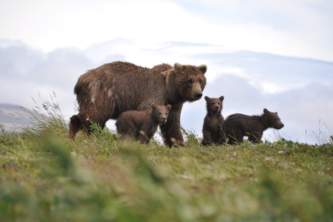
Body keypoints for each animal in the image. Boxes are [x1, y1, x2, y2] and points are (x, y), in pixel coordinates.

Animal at [68, 61, 206, 147]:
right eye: (190, 80)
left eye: (201, 80)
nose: (198, 94)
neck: (170, 90)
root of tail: (81, 80)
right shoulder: (154, 93)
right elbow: (146, 114)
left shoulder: (174, 105)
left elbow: (172, 126)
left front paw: (178, 145)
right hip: (102, 93)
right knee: (94, 117)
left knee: (83, 116)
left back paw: (72, 136)